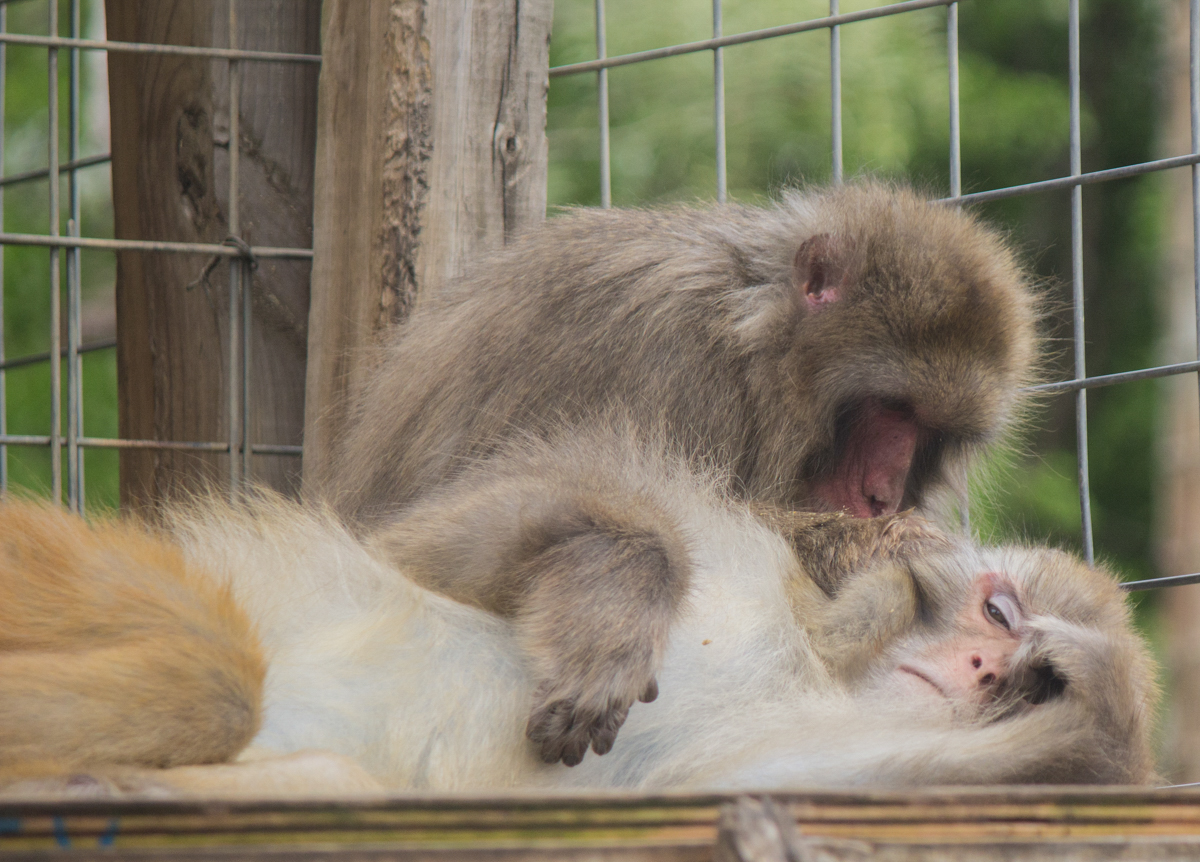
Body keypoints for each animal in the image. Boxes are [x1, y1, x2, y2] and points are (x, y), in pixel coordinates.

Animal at [0, 436, 1157, 797]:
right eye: (996, 608)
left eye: (1014, 677)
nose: (983, 668)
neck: (808, 661)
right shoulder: (754, 559)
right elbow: (424, 550)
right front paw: (617, 607)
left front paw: (1092, 700)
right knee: (213, 670)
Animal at [317, 181, 1041, 765]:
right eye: (891, 407)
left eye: (930, 432)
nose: (881, 495)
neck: (748, 338)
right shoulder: (657, 348)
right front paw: (890, 545)